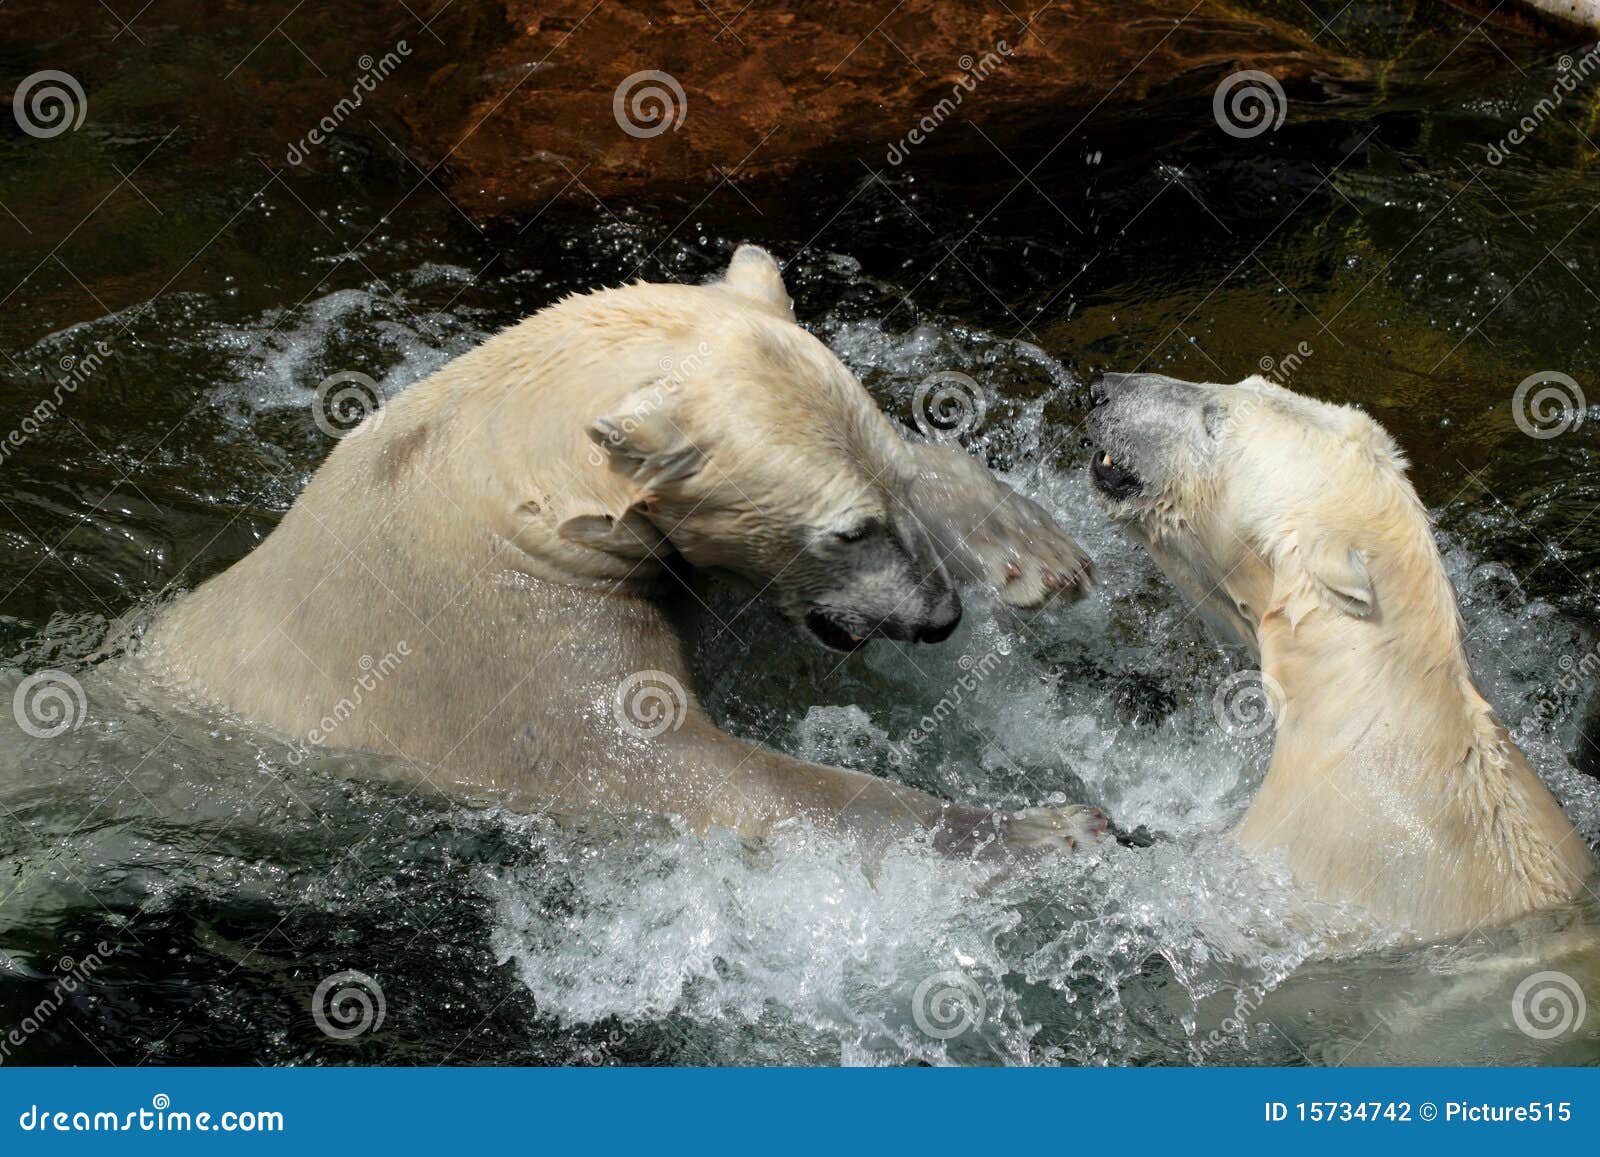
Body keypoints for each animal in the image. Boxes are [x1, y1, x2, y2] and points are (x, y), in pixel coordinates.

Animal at [134, 246, 1103, 856]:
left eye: (886, 499)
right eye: (848, 530)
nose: (940, 618)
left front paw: (1039, 553)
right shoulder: (497, 646)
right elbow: (677, 770)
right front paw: (1043, 830)